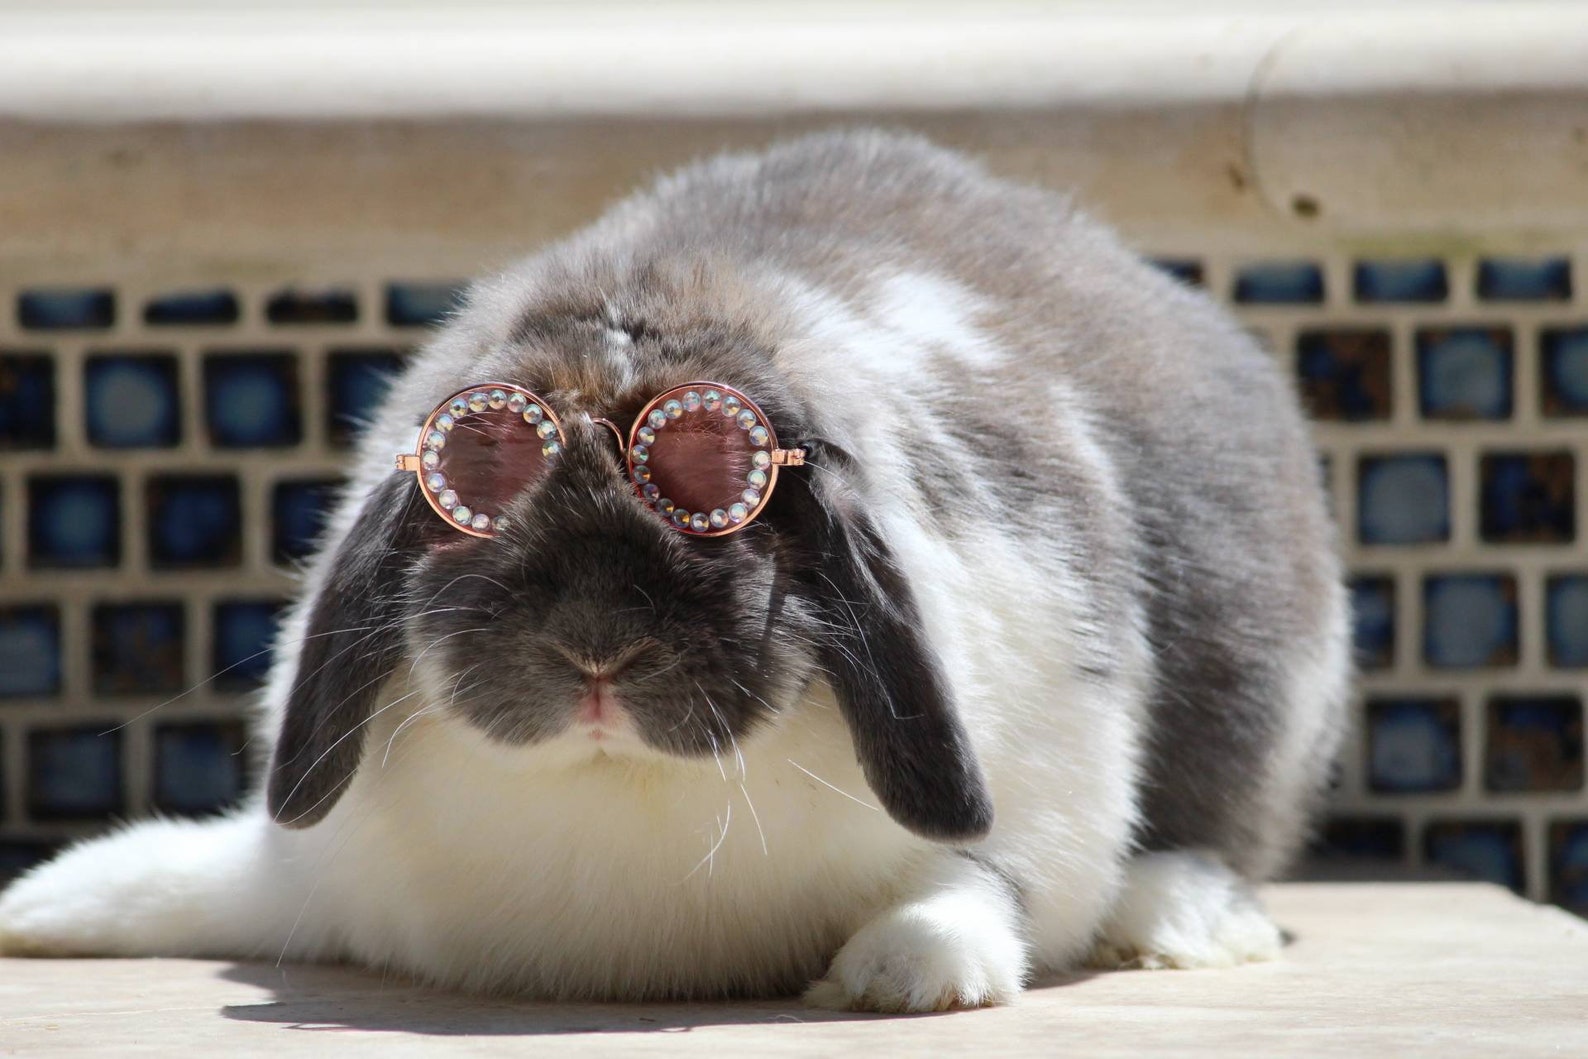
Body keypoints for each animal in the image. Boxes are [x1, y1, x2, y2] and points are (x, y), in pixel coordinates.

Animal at [0, 129, 1349, 1012]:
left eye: (722, 490)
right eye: (475, 475)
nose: (596, 644)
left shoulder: (1049, 785)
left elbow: (980, 885)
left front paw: (905, 974)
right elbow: (200, 875)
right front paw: (44, 905)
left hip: (1260, 677)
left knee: (1217, 832)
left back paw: (1170, 925)